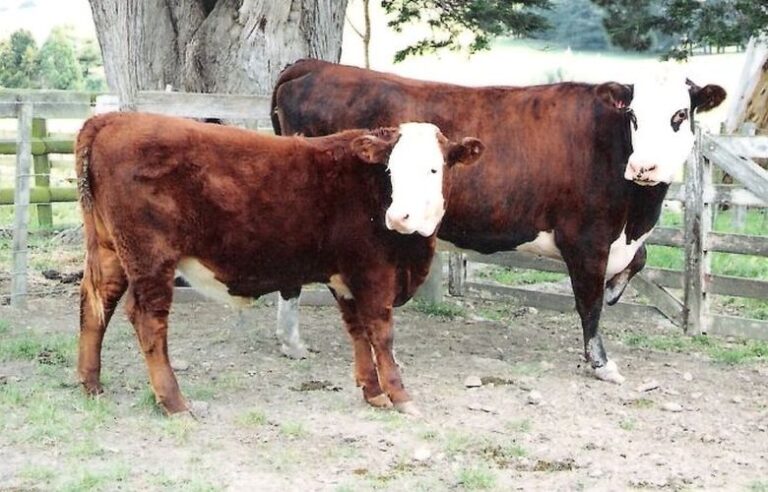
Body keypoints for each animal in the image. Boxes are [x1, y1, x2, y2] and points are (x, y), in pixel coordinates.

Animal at [75, 112, 484, 415]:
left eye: (434, 169)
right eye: (391, 170)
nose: (399, 216)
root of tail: (115, 118)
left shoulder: (344, 276)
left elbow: (357, 331)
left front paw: (373, 392)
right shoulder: (373, 272)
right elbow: (381, 334)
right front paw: (400, 396)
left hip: (110, 249)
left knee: (96, 304)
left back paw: (90, 384)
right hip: (150, 256)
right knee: (147, 319)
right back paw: (174, 402)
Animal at [270, 59, 726, 384]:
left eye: (680, 115)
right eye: (633, 117)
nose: (644, 166)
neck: (637, 213)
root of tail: (314, 66)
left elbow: (638, 263)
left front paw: (617, 292)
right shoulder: (586, 239)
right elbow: (590, 303)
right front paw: (601, 363)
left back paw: (292, 342)